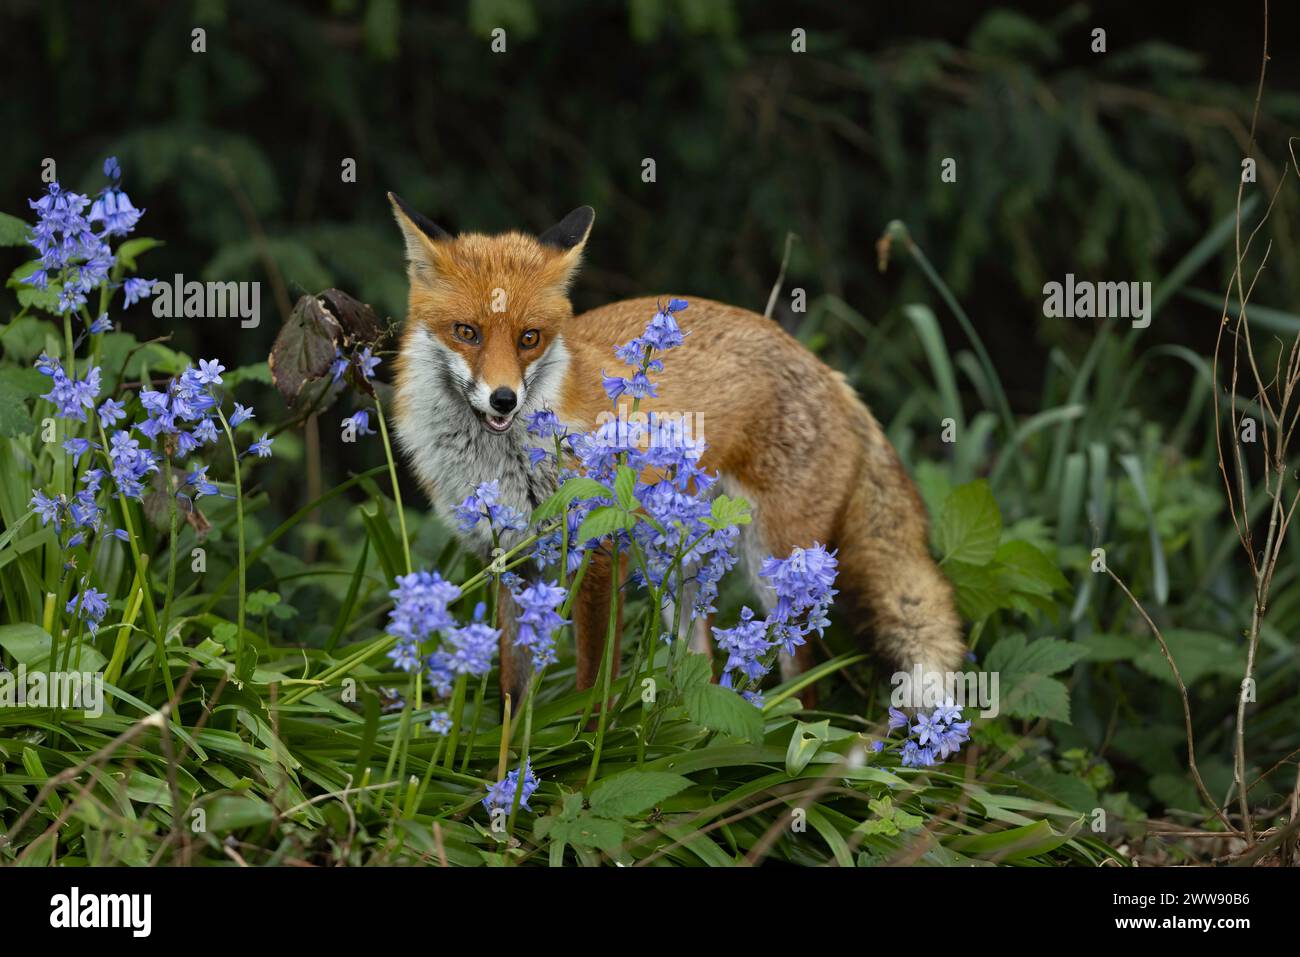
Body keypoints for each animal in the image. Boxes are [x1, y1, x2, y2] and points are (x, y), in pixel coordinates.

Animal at [387, 193, 966, 706]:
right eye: (467, 332)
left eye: (529, 338)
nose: (504, 398)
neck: (502, 465)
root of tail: (831, 374)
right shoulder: (509, 561)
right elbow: (513, 693)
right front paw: (511, 757)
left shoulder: (603, 551)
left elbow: (592, 684)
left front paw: (584, 749)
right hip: (683, 567)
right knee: (702, 664)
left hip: (779, 567)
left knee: (802, 677)